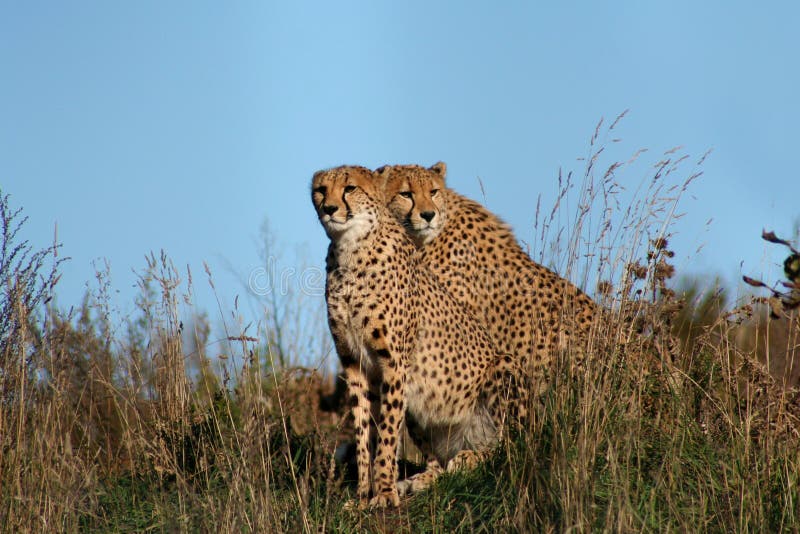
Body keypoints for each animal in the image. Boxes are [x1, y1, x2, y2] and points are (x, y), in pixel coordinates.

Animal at [312, 165, 528, 508]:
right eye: (320, 190)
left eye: (349, 188)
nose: (330, 208)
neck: (351, 251)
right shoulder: (354, 364)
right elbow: (363, 433)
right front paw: (363, 495)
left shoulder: (394, 364)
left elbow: (386, 434)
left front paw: (383, 493)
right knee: (439, 464)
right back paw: (419, 480)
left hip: (501, 367)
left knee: (510, 447)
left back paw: (469, 459)